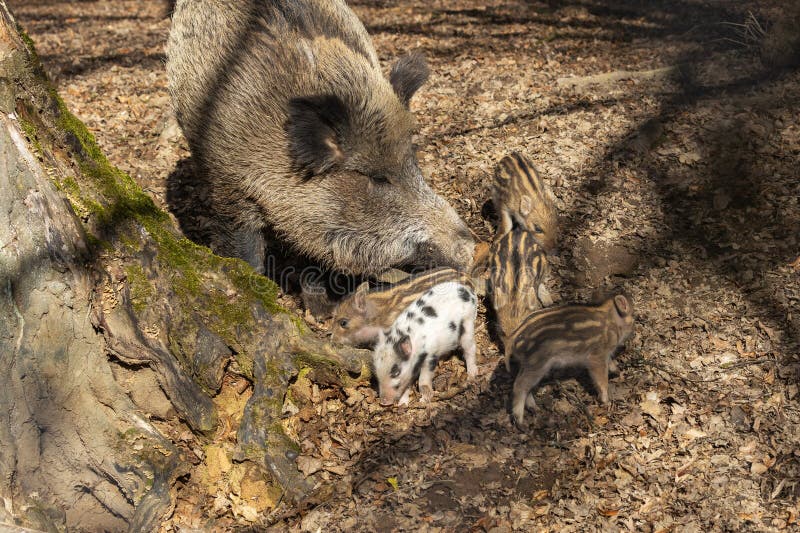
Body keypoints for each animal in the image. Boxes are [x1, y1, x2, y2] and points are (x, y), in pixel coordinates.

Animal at [505, 294, 634, 428]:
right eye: (632, 313)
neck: (612, 321)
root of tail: (512, 338)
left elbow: (610, 362)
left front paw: (617, 371)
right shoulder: (596, 356)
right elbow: (601, 379)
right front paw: (606, 401)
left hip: (528, 364)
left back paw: (534, 408)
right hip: (536, 363)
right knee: (519, 385)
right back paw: (520, 421)